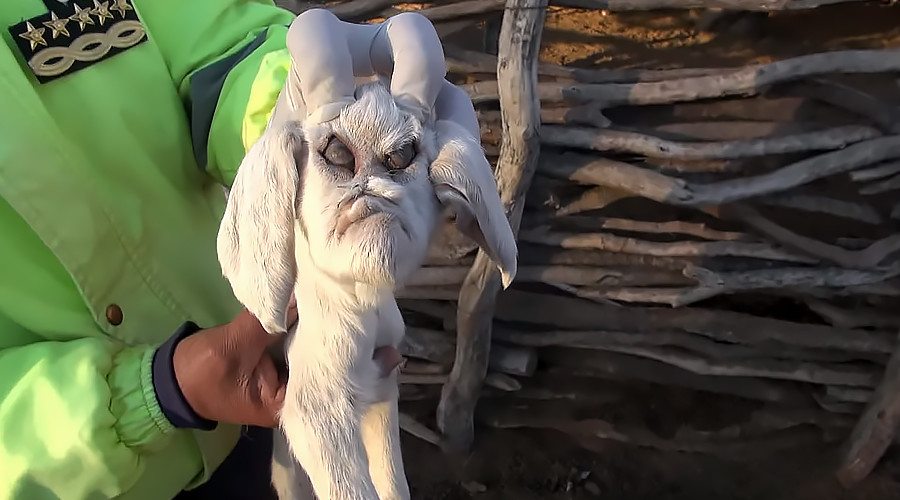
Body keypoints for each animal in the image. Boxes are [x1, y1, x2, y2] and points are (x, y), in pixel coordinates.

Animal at [215, 9, 518, 500]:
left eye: (404, 155)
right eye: (337, 152)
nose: (373, 196)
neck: (359, 303)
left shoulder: (381, 389)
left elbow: (391, 478)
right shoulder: (315, 406)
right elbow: (348, 484)